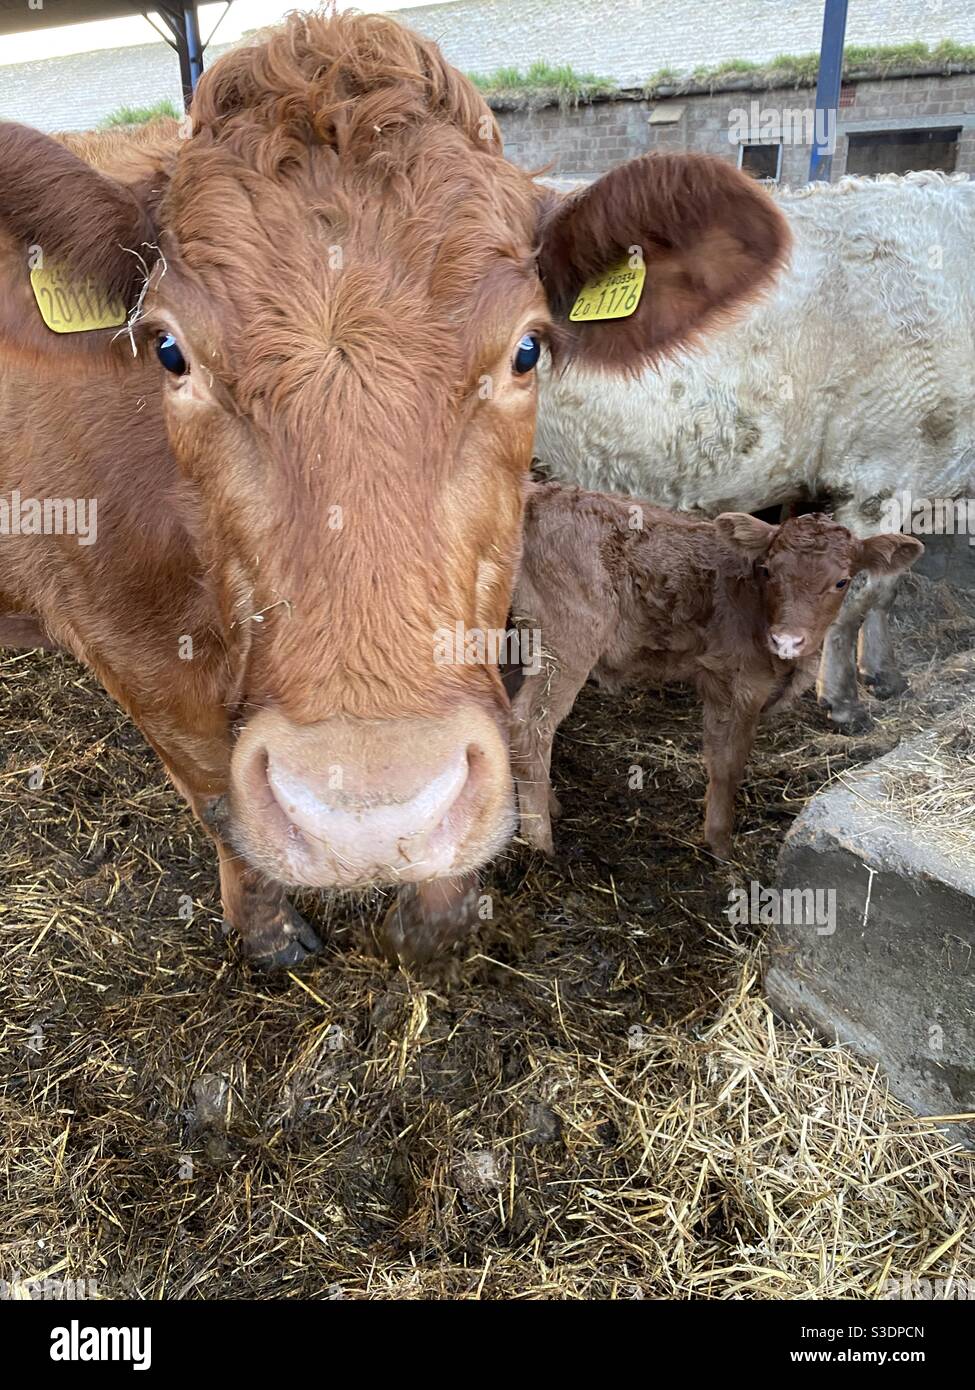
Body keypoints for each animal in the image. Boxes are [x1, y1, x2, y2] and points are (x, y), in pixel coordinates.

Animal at [0, 13, 788, 965]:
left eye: (527, 348)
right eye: (169, 352)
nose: (365, 817)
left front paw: (438, 913)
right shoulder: (124, 642)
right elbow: (213, 791)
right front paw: (268, 933)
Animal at [510, 483, 923, 859]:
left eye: (841, 581)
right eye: (769, 572)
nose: (787, 640)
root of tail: (538, 496)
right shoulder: (738, 681)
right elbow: (728, 764)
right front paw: (721, 845)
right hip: (569, 641)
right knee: (530, 727)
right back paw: (540, 843)